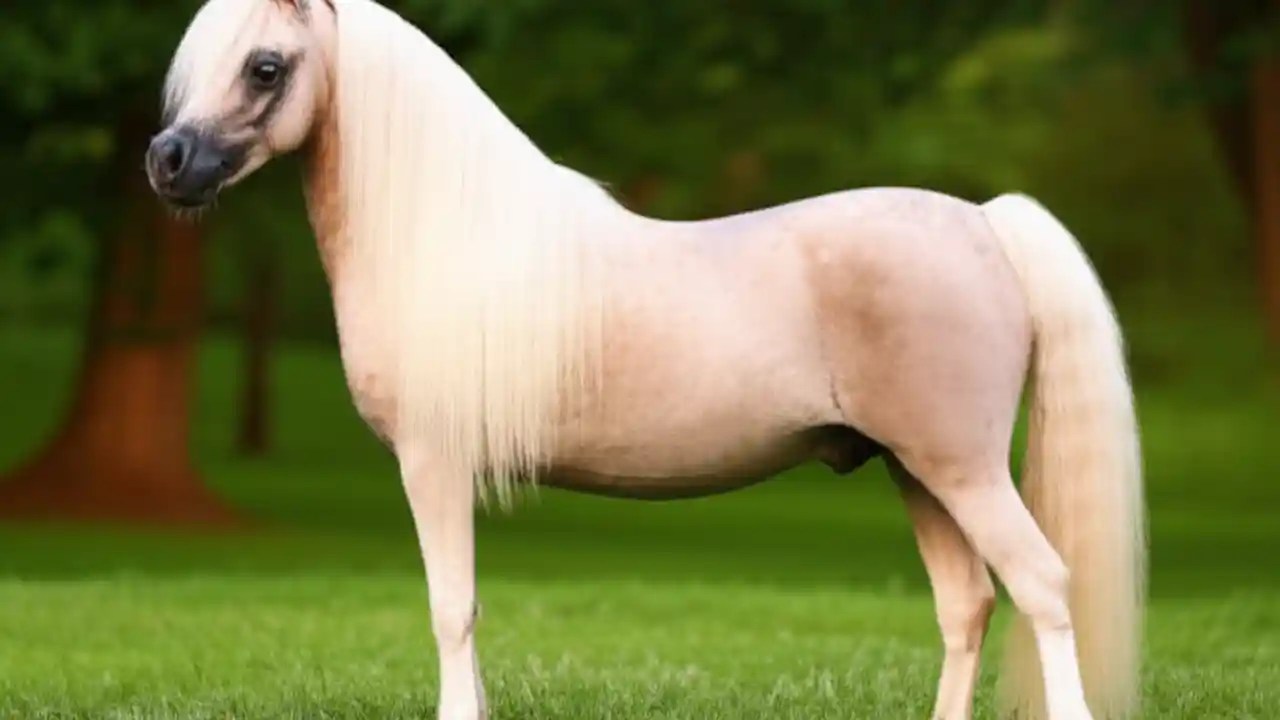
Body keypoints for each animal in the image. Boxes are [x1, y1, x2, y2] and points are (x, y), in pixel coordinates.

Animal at [147, 1, 1145, 718]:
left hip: (963, 470)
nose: (167, 162)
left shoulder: (433, 462)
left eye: (265, 65)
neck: (450, 237)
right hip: (918, 471)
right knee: (967, 606)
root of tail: (984, 221)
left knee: (1043, 586)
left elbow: (451, 611)